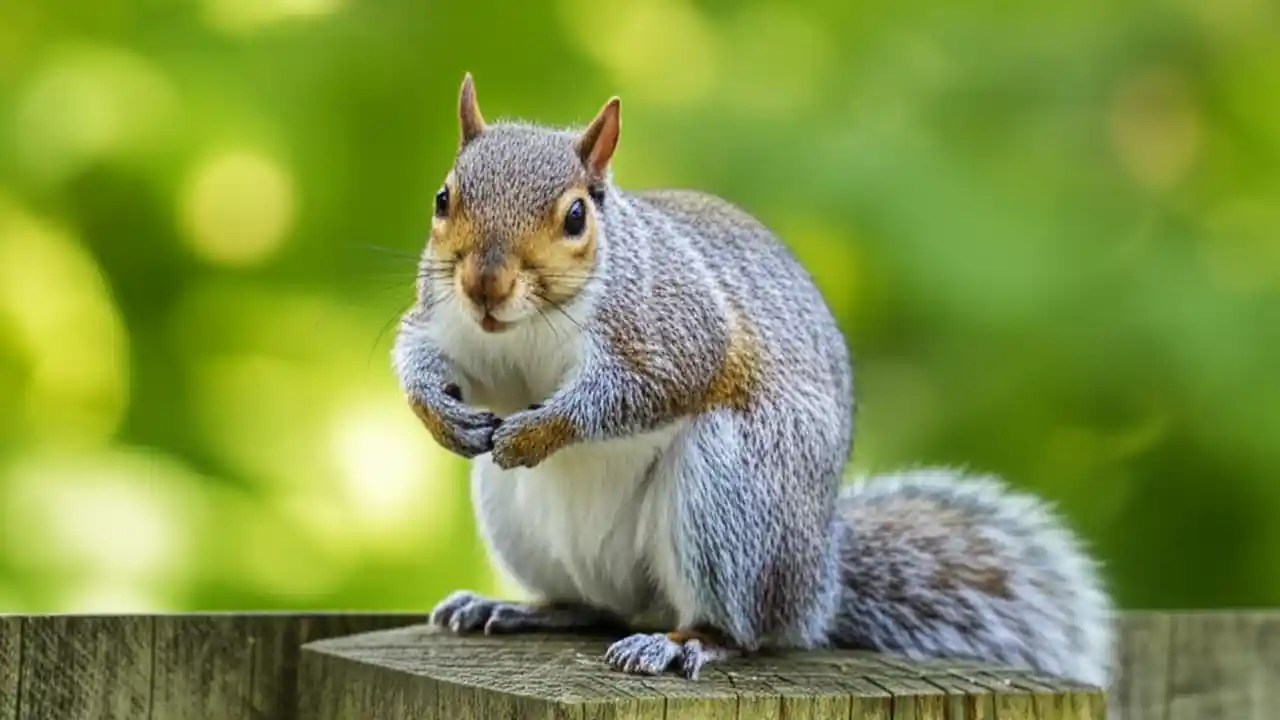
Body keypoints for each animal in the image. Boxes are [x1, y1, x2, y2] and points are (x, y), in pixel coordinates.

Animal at [392, 73, 1114, 686]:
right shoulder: (451, 322)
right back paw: (522, 608)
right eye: (443, 198)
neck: (527, 324)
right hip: (518, 519)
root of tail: (817, 588)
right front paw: (437, 412)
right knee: (595, 606)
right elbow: (421, 354)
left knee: (742, 631)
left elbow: (644, 389)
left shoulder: (676, 327)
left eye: (575, 217)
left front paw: (538, 432)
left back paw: (683, 643)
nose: (485, 284)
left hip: (734, 494)